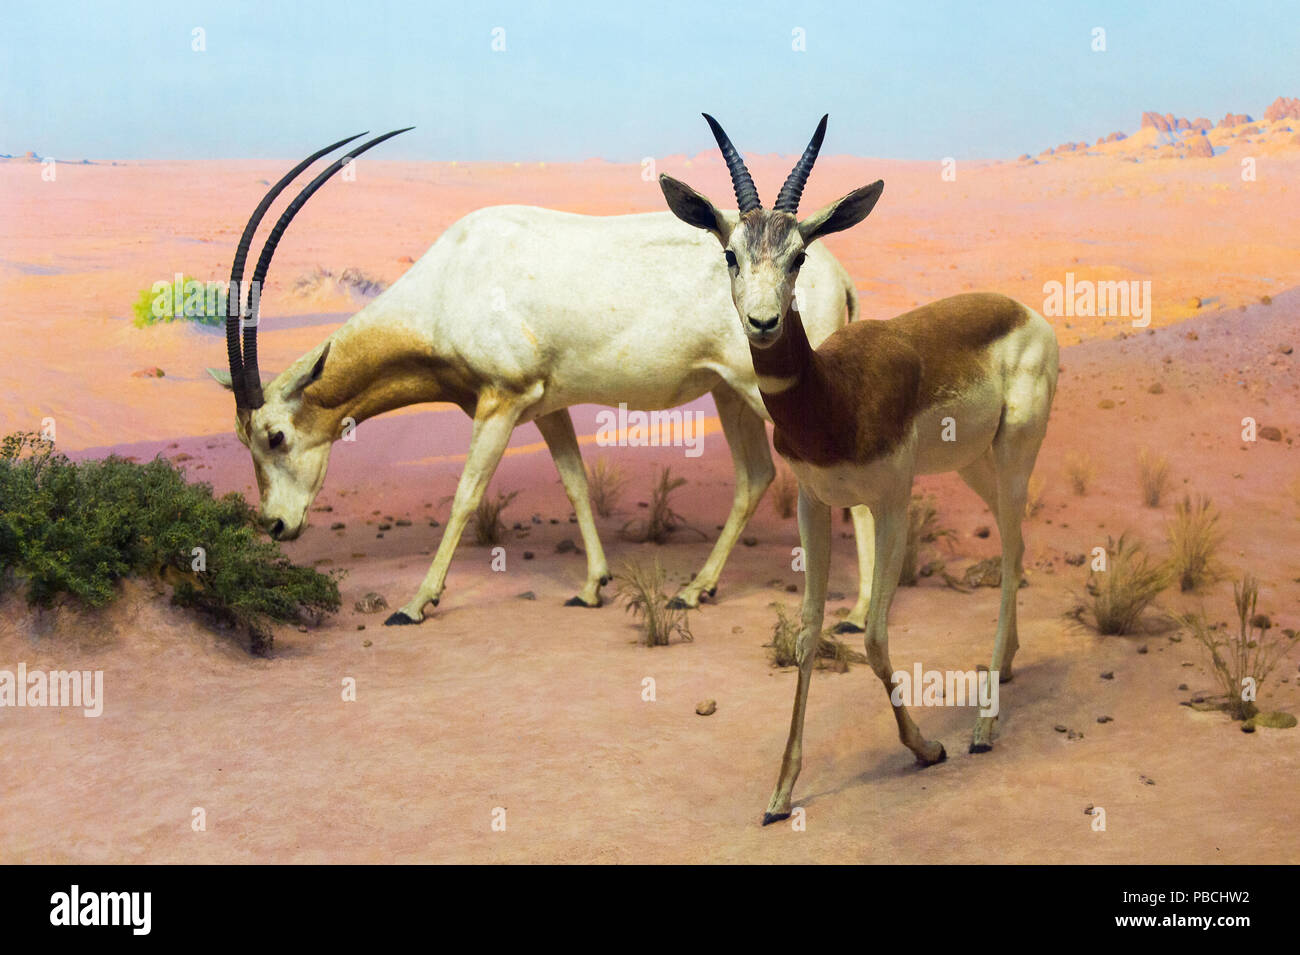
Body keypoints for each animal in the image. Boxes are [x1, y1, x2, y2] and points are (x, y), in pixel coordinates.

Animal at [212, 129, 879, 626]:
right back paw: (696, 590)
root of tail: (839, 274)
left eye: (275, 436)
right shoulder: (544, 405)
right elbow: (576, 483)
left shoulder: (500, 403)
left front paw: (416, 602)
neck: (455, 275)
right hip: (731, 393)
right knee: (755, 476)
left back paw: (856, 615)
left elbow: (465, 495)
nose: (276, 525)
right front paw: (592, 586)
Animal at [660, 115, 1059, 824]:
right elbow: (808, 631)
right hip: (973, 465)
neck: (834, 394)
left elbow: (872, 635)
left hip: (1016, 453)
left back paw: (984, 725)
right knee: (1015, 545)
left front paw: (926, 748)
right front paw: (780, 794)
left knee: (1013, 552)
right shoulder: (813, 502)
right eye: (731, 253)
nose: (763, 323)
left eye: (799, 255)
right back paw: (1006, 670)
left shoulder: (892, 501)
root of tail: (1025, 311)